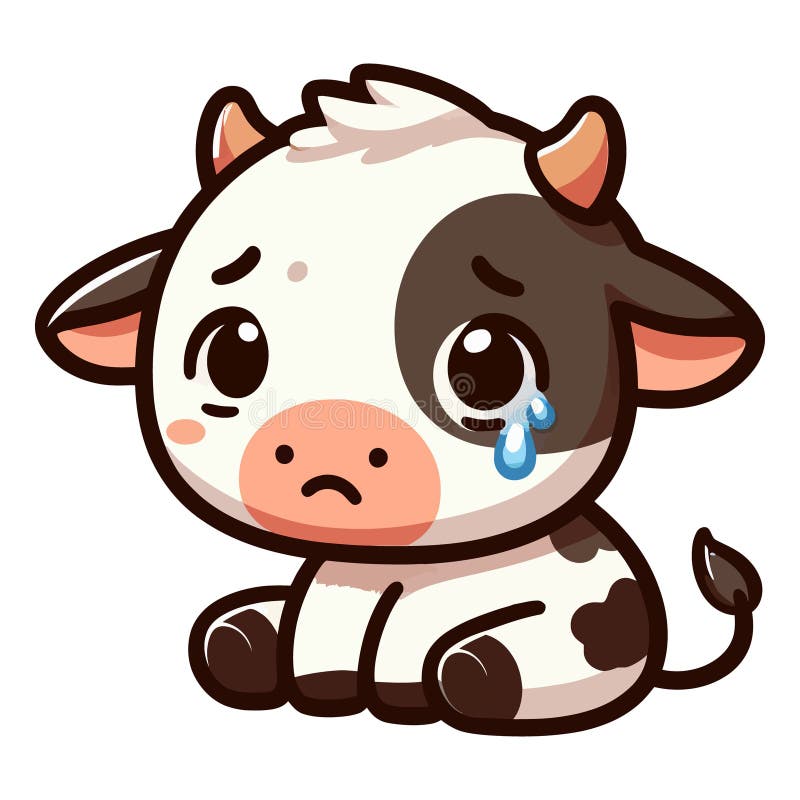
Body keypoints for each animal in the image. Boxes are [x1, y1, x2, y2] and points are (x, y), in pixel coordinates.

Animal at [36, 65, 764, 735]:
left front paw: (397, 695)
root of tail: (658, 657)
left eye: (490, 364)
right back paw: (240, 638)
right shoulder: (327, 596)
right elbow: (315, 643)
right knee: (238, 631)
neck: (385, 570)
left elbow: (403, 652)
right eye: (230, 352)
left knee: (495, 667)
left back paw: (470, 668)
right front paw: (316, 683)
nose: (332, 442)